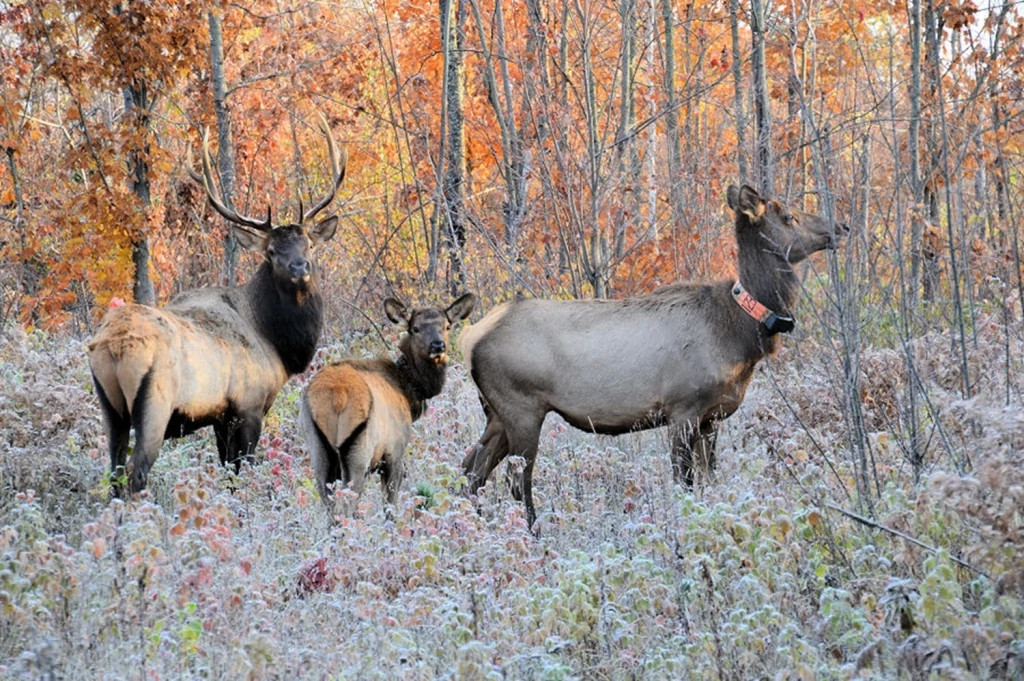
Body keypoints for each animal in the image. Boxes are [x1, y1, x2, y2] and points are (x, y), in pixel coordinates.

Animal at [87, 117, 346, 495]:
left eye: (309, 245)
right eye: (271, 251)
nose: (299, 268)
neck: (277, 345)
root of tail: (113, 345)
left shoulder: (220, 417)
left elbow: (227, 472)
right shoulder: (248, 406)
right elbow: (241, 472)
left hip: (110, 408)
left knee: (113, 472)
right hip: (154, 403)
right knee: (135, 472)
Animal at [299, 293, 476, 515]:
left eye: (447, 326)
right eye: (415, 328)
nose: (437, 346)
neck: (410, 392)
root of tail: (337, 396)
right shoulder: (394, 454)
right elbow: (390, 505)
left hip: (319, 451)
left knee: (329, 505)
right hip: (358, 454)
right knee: (346, 505)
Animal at [459, 184, 849, 528]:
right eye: (789, 216)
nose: (841, 227)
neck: (739, 333)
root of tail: (470, 338)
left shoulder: (711, 417)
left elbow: (710, 481)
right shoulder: (683, 409)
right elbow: (684, 483)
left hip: (497, 414)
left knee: (470, 471)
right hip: (522, 408)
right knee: (515, 480)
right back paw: (534, 533)